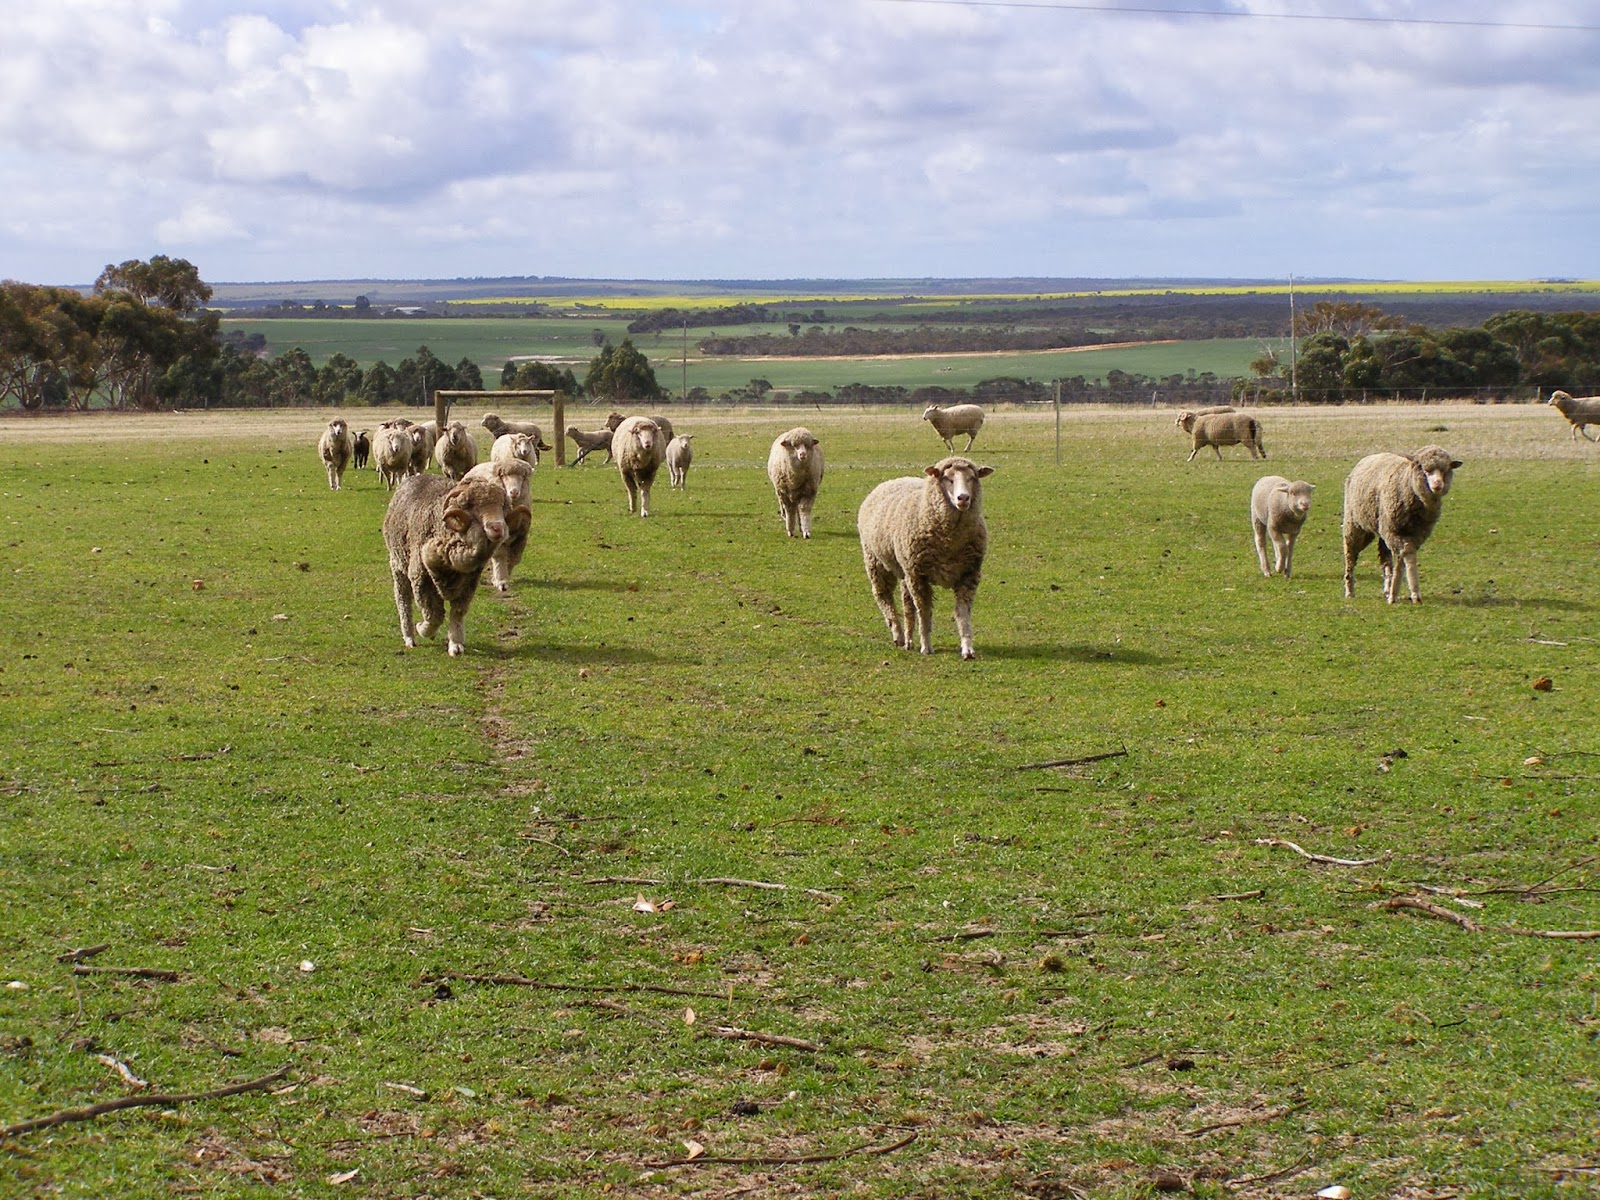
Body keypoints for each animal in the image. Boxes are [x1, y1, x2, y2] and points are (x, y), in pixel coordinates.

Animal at [382, 474, 527, 656]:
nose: (497, 528)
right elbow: (434, 615)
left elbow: (457, 613)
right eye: (469, 504)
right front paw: (424, 629)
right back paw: (409, 636)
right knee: (403, 600)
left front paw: (455, 644)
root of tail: (415, 477)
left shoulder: (469, 583)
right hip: (397, 565)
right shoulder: (420, 578)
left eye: (503, 506)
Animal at [463, 459, 534, 593]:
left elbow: (514, 558)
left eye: (522, 477)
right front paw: (501, 581)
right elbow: (500, 556)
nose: (514, 492)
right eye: (504, 476)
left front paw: (505, 575)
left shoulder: (521, 536)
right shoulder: (498, 534)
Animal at [858, 455, 994, 660]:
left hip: (905, 570)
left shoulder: (969, 575)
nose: (963, 498)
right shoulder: (919, 576)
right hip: (877, 561)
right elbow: (924, 611)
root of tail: (895, 479)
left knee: (907, 604)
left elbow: (963, 614)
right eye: (948, 478)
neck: (949, 542)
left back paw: (908, 639)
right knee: (884, 596)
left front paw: (967, 648)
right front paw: (926, 646)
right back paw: (898, 634)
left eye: (972, 478)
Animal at [1342, 445, 1461, 604]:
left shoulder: (1417, 534)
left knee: (1385, 558)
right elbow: (1405, 554)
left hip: (1382, 530)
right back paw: (1350, 590)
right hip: (1355, 524)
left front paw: (1407, 593)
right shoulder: (1394, 531)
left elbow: (1406, 555)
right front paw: (1400, 595)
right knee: (1350, 554)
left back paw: (1387, 586)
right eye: (1421, 467)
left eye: (1447, 469)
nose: (1437, 485)